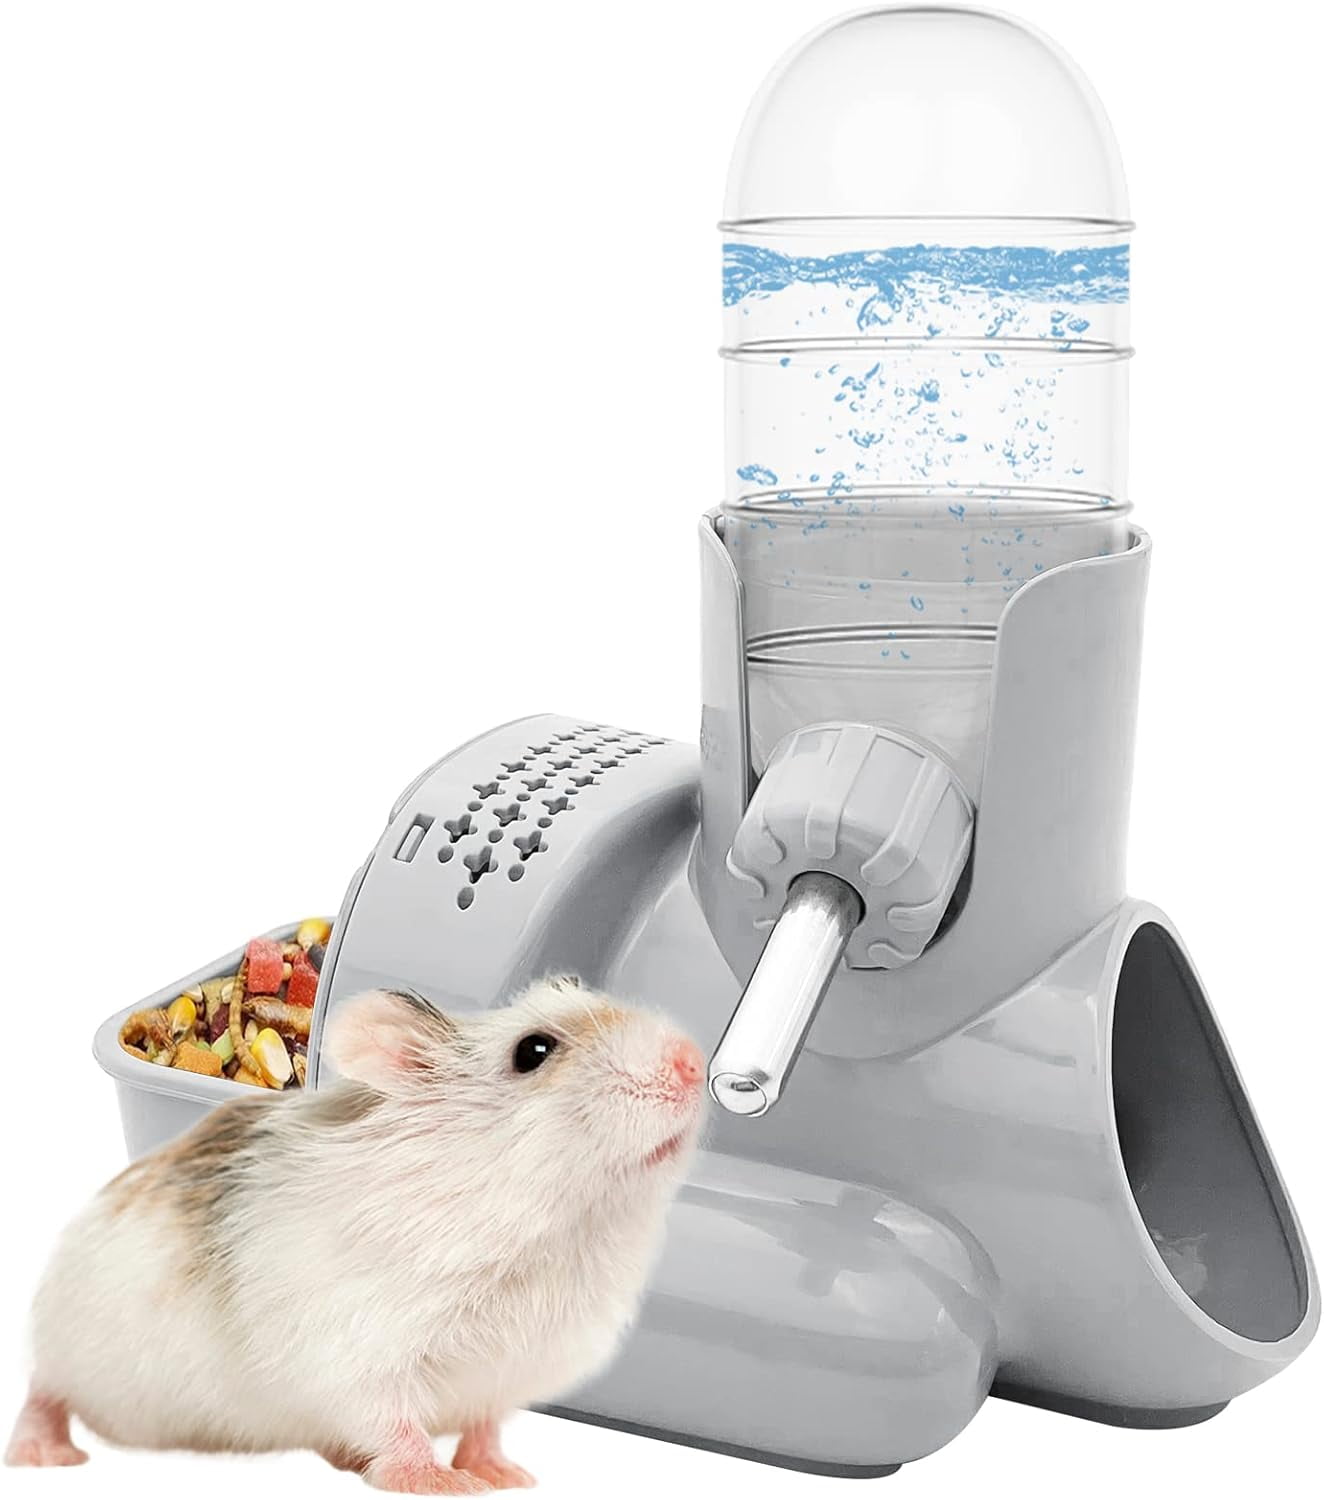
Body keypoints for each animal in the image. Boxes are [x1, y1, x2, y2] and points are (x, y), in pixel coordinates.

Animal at [7, 977, 706, 1493]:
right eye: (533, 1051)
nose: (693, 1062)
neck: (553, 1230)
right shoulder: (353, 1351)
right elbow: (393, 1423)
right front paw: (444, 1484)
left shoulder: (514, 1368)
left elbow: (484, 1424)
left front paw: (506, 1476)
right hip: (68, 1340)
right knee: (43, 1391)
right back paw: (42, 1457)